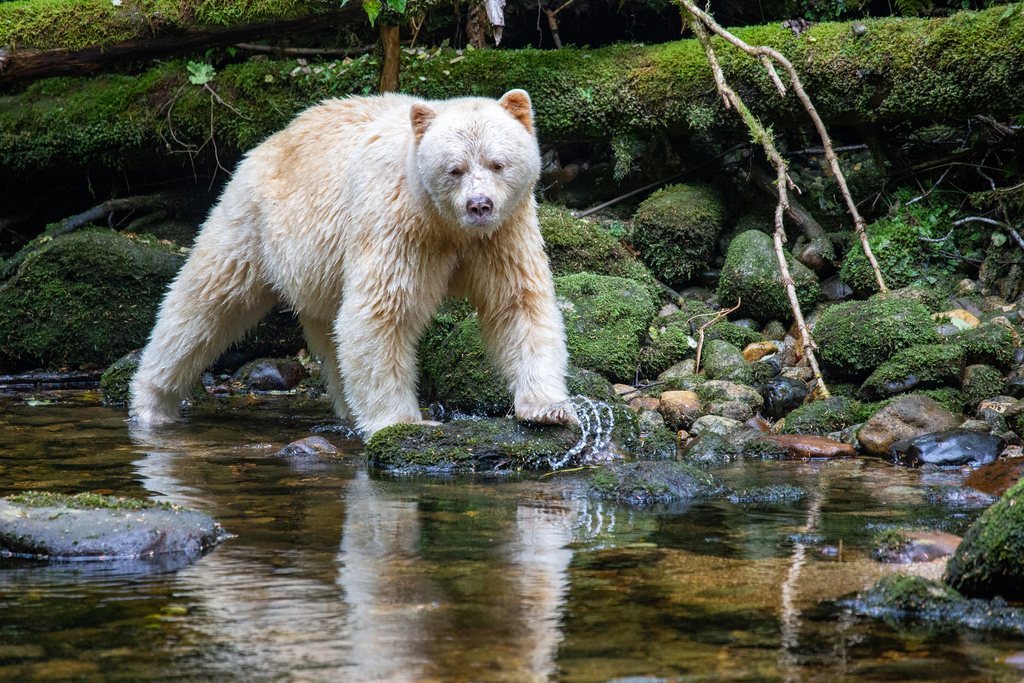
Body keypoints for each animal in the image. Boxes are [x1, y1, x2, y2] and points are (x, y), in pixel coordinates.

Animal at [129, 89, 575, 438]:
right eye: (455, 169)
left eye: (498, 163)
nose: (479, 205)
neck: (447, 225)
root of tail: (270, 140)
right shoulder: (397, 223)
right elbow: (380, 312)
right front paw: (402, 421)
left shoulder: (503, 234)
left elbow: (518, 304)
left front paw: (549, 408)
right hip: (254, 224)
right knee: (203, 304)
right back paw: (152, 401)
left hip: (318, 270)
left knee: (328, 335)